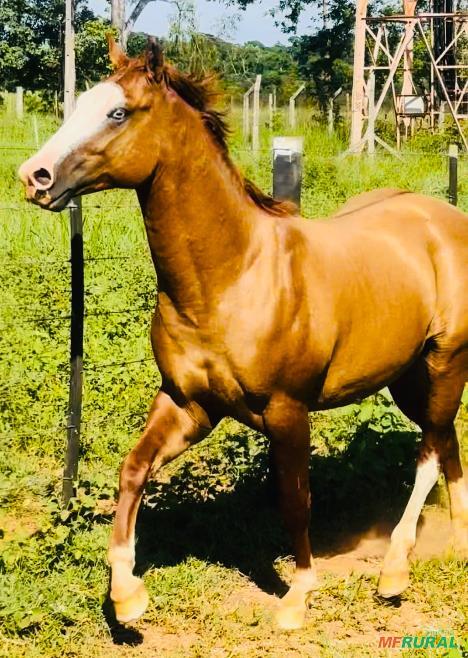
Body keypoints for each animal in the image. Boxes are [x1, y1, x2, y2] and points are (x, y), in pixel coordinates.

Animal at [19, 37, 468, 630]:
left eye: (118, 112)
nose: (34, 176)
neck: (232, 276)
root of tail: (447, 220)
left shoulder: (287, 411)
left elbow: (295, 501)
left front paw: (297, 596)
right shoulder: (188, 403)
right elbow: (132, 470)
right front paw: (127, 595)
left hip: (444, 362)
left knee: (430, 452)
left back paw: (394, 572)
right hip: (410, 376)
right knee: (447, 442)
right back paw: (458, 544)